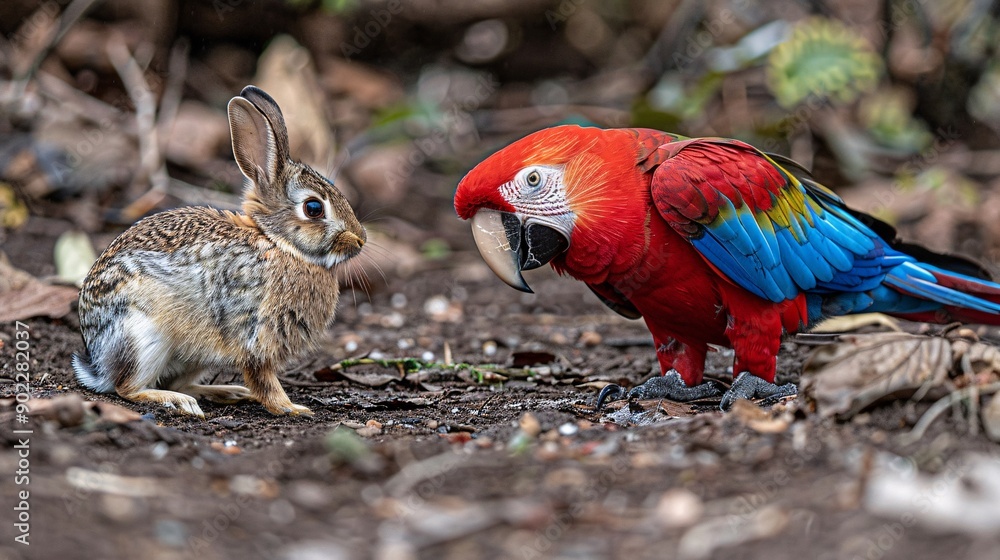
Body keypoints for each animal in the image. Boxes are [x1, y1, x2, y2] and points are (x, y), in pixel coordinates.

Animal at [71, 85, 365, 418]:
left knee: (180, 382)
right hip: (142, 337)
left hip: (193, 356)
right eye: (314, 208)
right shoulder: (253, 334)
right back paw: (177, 401)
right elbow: (264, 379)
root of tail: (98, 365)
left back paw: (227, 391)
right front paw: (292, 408)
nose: (360, 240)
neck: (277, 243)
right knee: (128, 387)